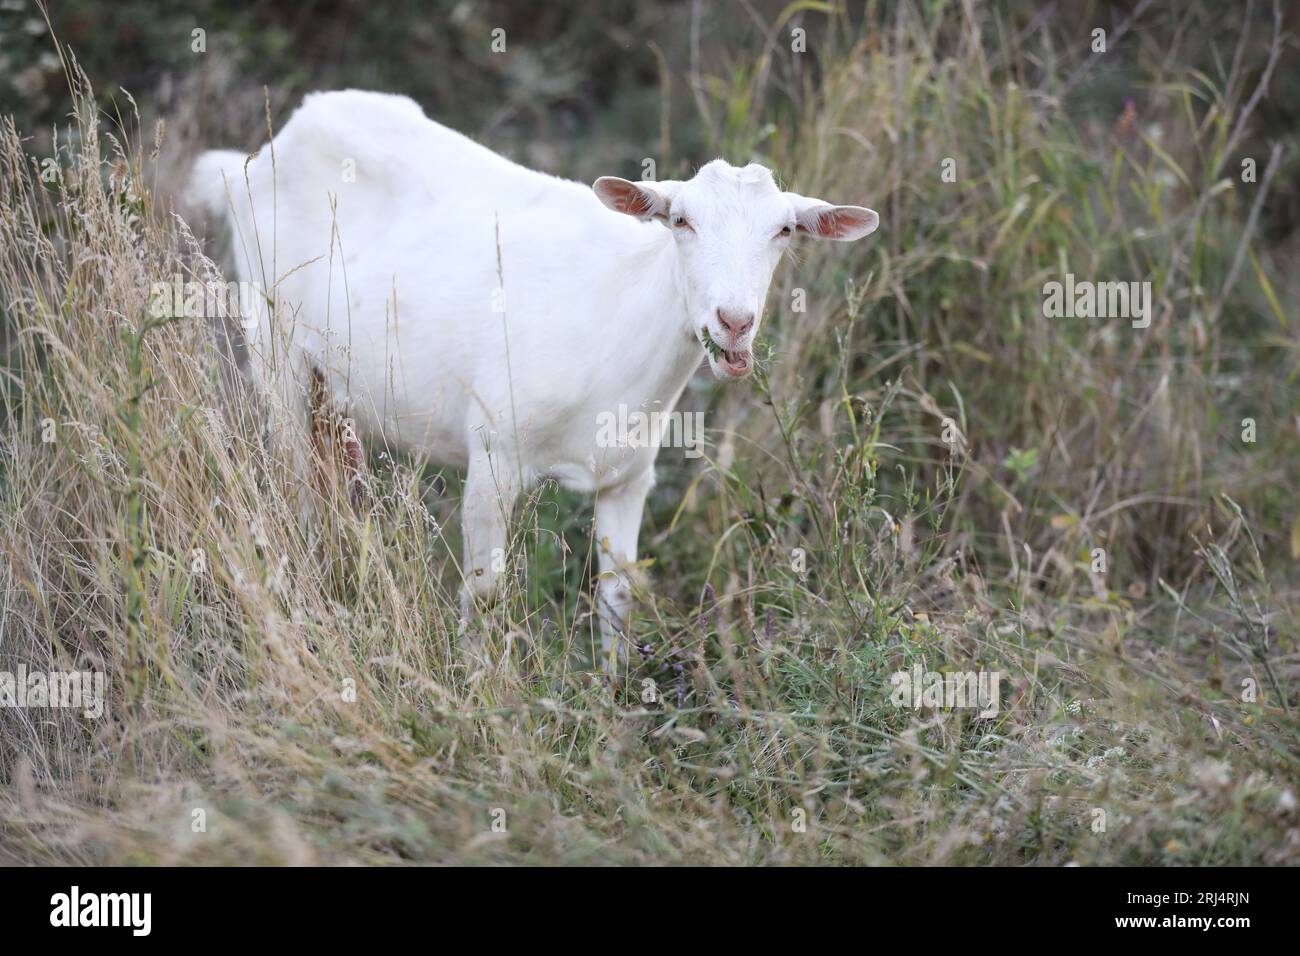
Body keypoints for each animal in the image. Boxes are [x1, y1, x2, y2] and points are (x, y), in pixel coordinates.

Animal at [189, 89, 879, 677]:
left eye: (783, 230)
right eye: (681, 220)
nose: (734, 321)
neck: (617, 309)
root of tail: (276, 141)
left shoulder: (632, 474)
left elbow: (618, 596)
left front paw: (613, 696)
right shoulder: (493, 454)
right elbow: (486, 591)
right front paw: (479, 685)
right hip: (272, 338)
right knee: (292, 475)